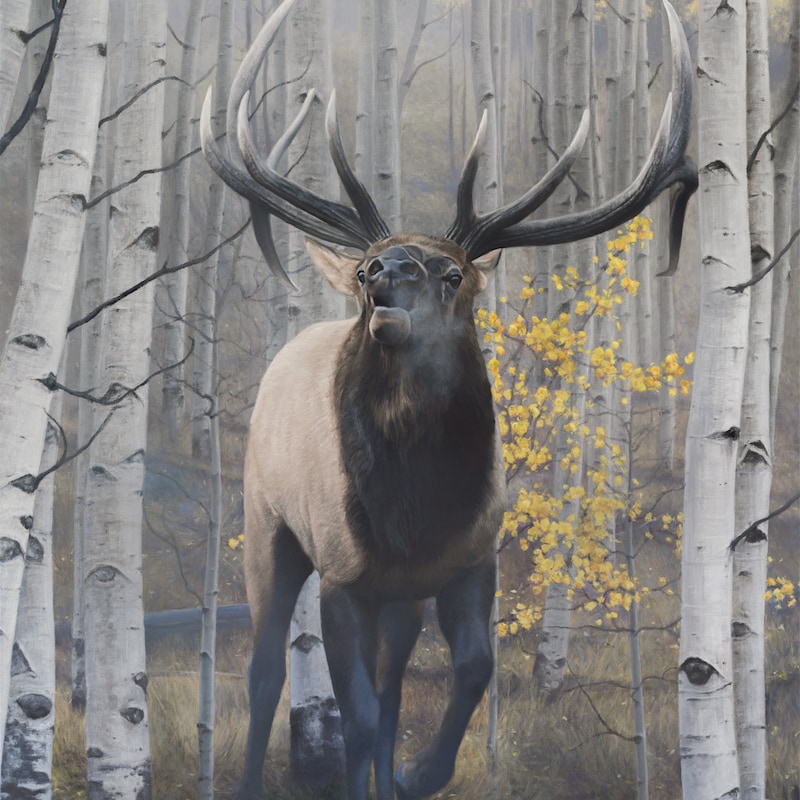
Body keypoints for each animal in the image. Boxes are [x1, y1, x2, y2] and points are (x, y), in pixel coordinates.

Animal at [200, 1, 696, 798]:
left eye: (453, 274)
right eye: (368, 267)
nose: (383, 274)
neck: (415, 518)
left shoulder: (469, 561)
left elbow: (470, 670)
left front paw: (415, 774)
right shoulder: (342, 573)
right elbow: (356, 714)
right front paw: (382, 777)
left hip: (398, 599)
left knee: (393, 684)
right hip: (265, 522)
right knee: (265, 670)